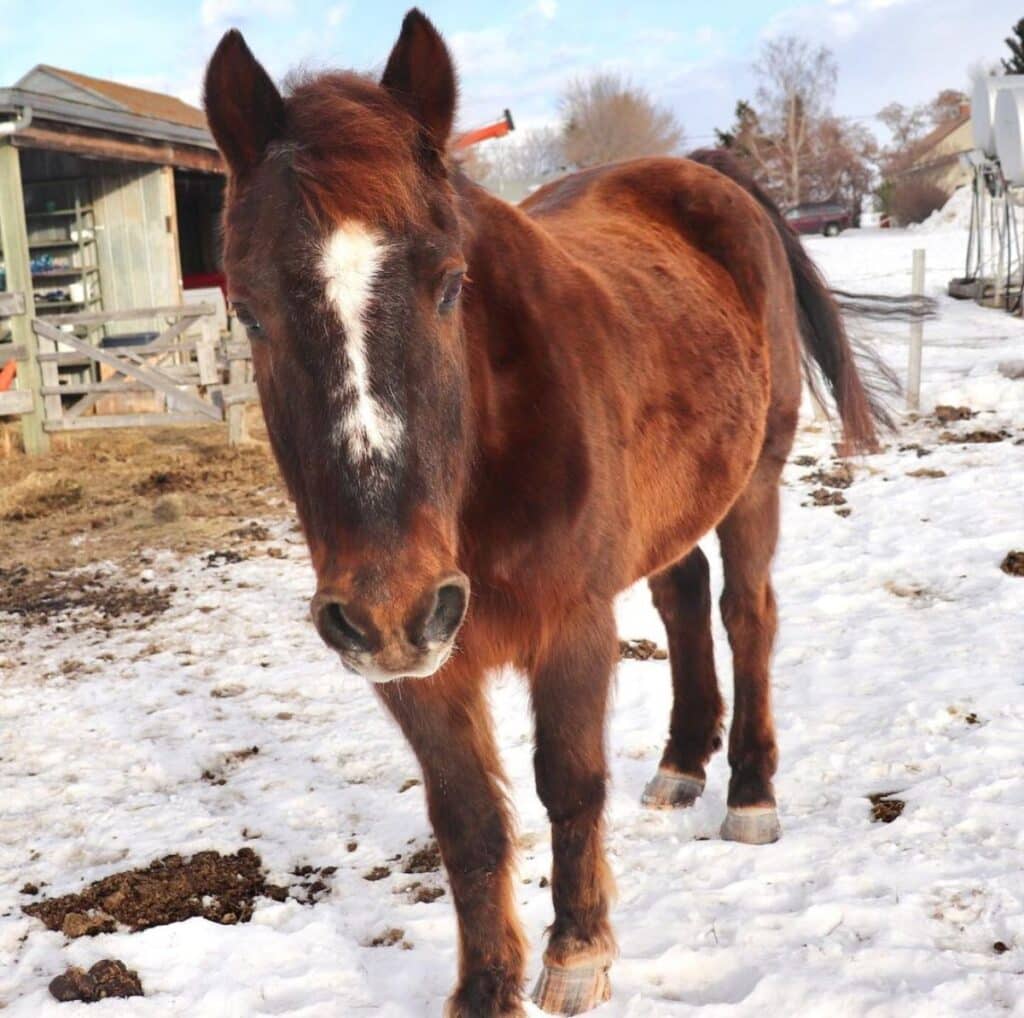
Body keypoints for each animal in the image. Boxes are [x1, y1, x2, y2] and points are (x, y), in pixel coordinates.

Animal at [203, 11, 888, 1016]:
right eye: (249, 313)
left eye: (450, 284)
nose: (389, 607)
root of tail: (701, 175)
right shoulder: (417, 668)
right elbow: (469, 821)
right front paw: (487, 987)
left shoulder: (569, 625)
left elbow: (568, 784)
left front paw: (577, 953)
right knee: (683, 600)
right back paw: (683, 764)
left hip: (754, 481)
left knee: (745, 614)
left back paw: (750, 792)